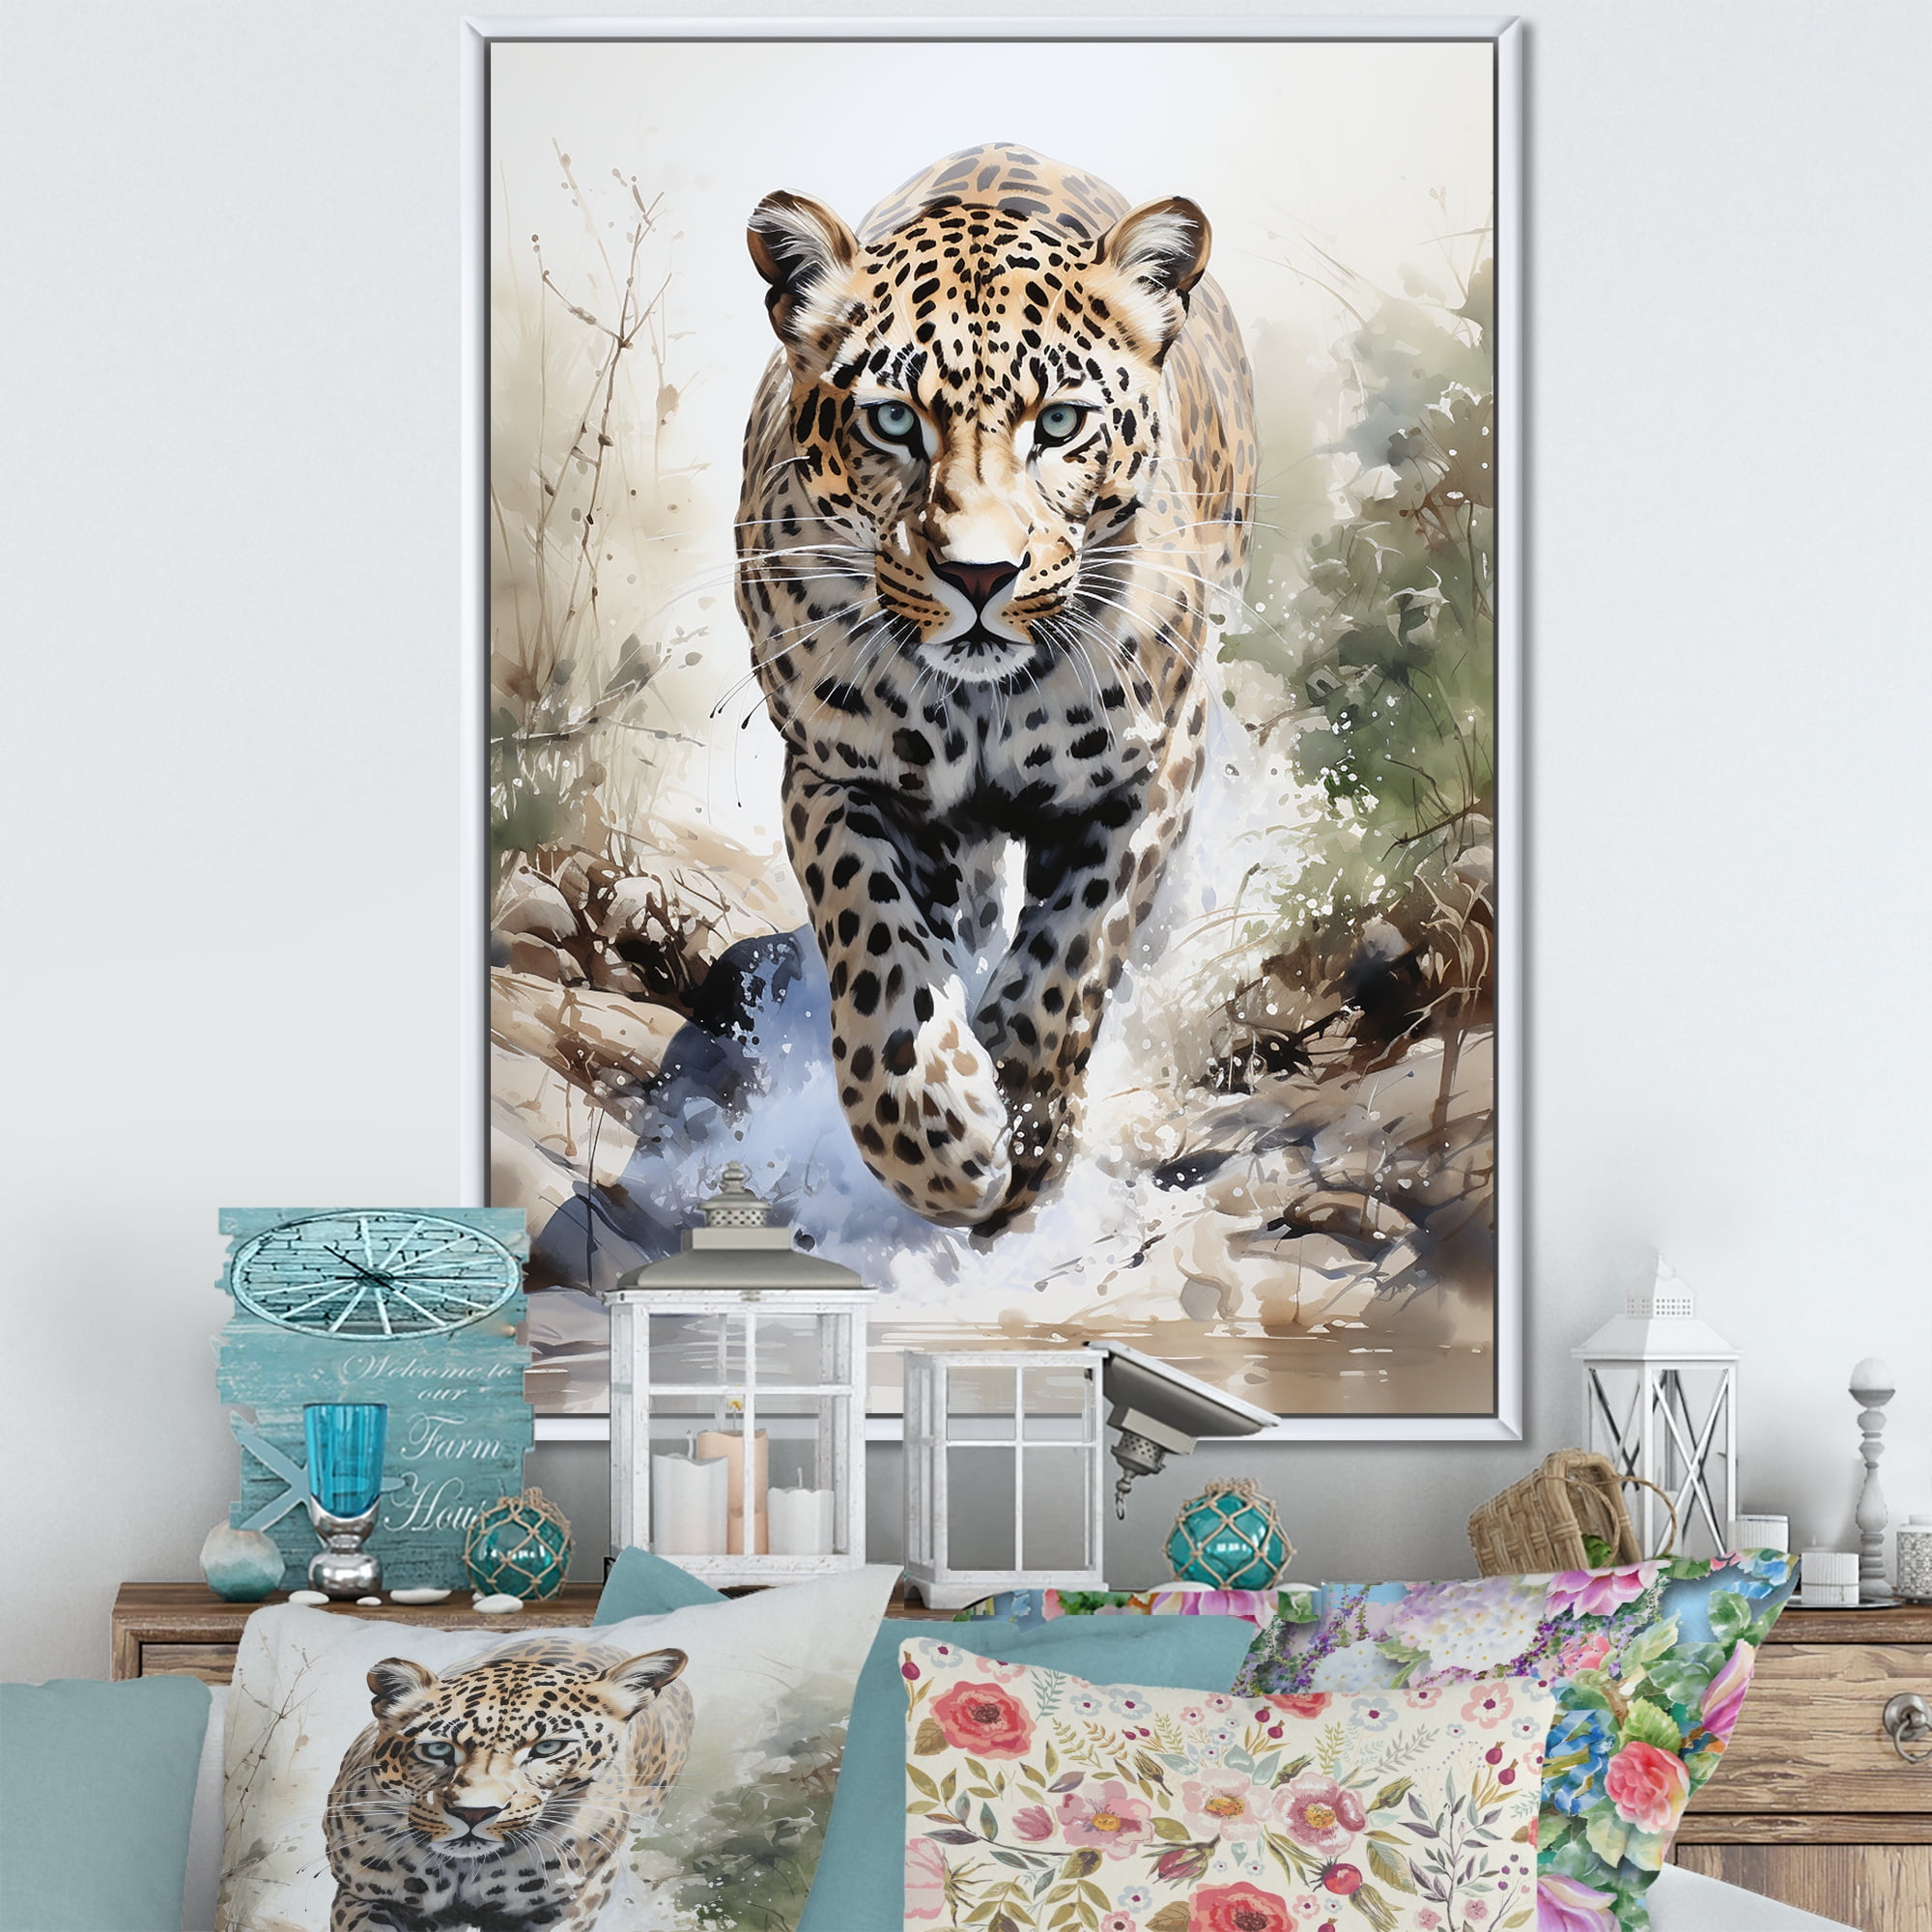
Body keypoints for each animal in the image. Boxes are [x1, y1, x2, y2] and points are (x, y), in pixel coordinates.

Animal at [321, 1638, 692, 1932]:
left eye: (547, 1748)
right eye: (438, 1749)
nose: (473, 1814)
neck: (464, 1869)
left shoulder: (569, 1905)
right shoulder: (363, 1897)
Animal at [734, 142, 1255, 1229]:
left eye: (1057, 423)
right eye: (893, 421)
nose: (979, 577)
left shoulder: (1150, 766)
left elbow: (1071, 953)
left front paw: (1024, 1124)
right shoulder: (834, 776)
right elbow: (876, 943)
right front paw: (937, 1136)